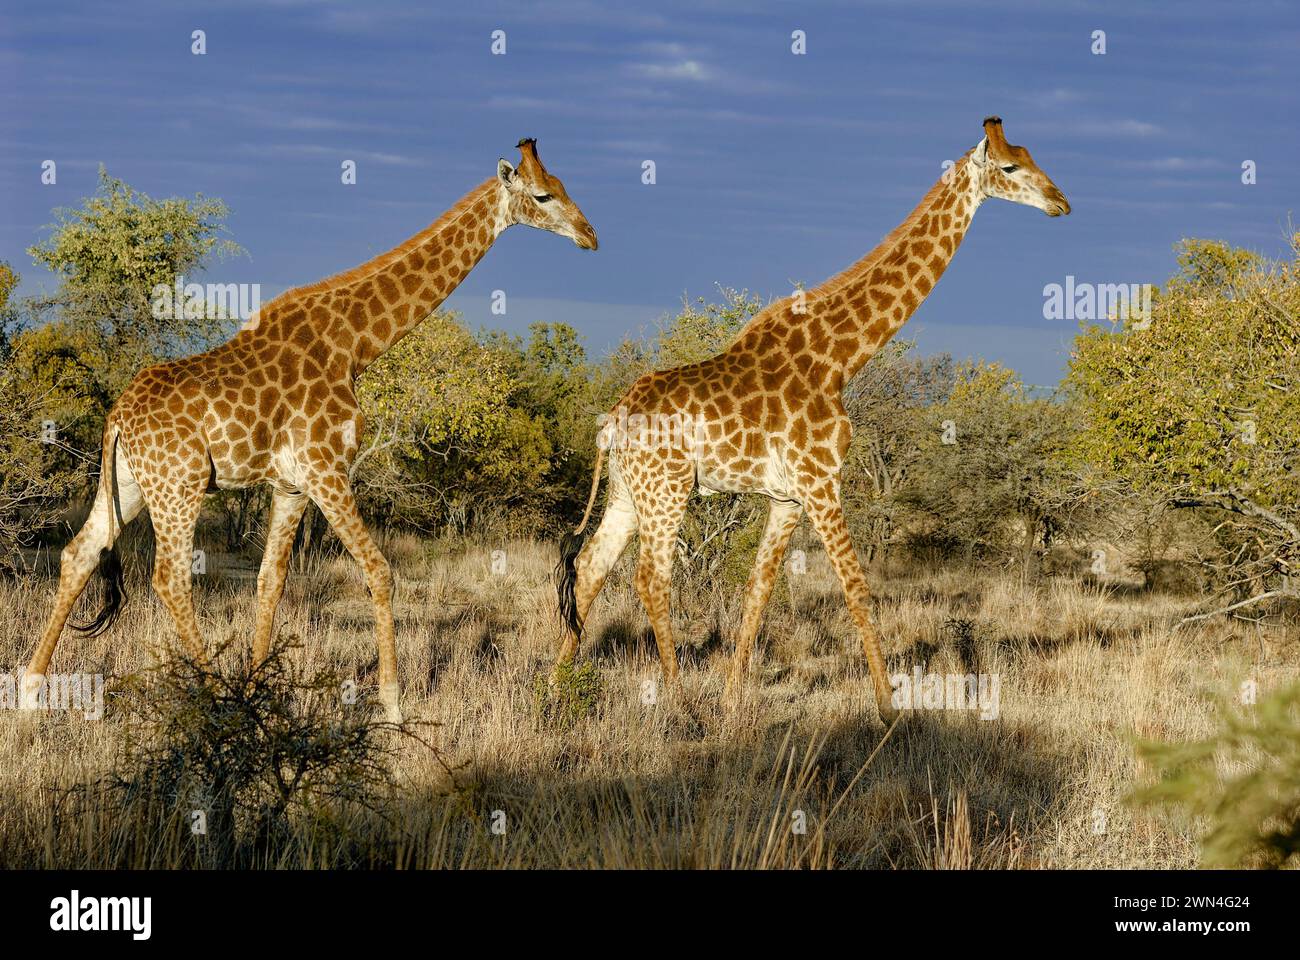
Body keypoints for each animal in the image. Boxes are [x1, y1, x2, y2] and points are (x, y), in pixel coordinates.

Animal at [23, 138, 597, 723]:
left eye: (565, 185)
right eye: (543, 195)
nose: (590, 236)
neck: (355, 344)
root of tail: (117, 417)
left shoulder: (291, 484)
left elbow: (269, 581)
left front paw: (257, 691)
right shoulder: (327, 468)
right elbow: (380, 572)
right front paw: (393, 705)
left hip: (131, 482)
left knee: (79, 554)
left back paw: (29, 692)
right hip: (178, 485)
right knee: (169, 577)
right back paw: (212, 698)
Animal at [556, 117, 1069, 723]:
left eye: (1033, 155)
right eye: (1011, 167)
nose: (1060, 202)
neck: (841, 356)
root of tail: (610, 421)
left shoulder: (788, 496)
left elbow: (759, 587)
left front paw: (732, 699)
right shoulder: (822, 479)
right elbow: (857, 587)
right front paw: (888, 709)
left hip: (628, 491)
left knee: (590, 567)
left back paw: (556, 686)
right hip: (668, 488)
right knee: (650, 579)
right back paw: (677, 702)